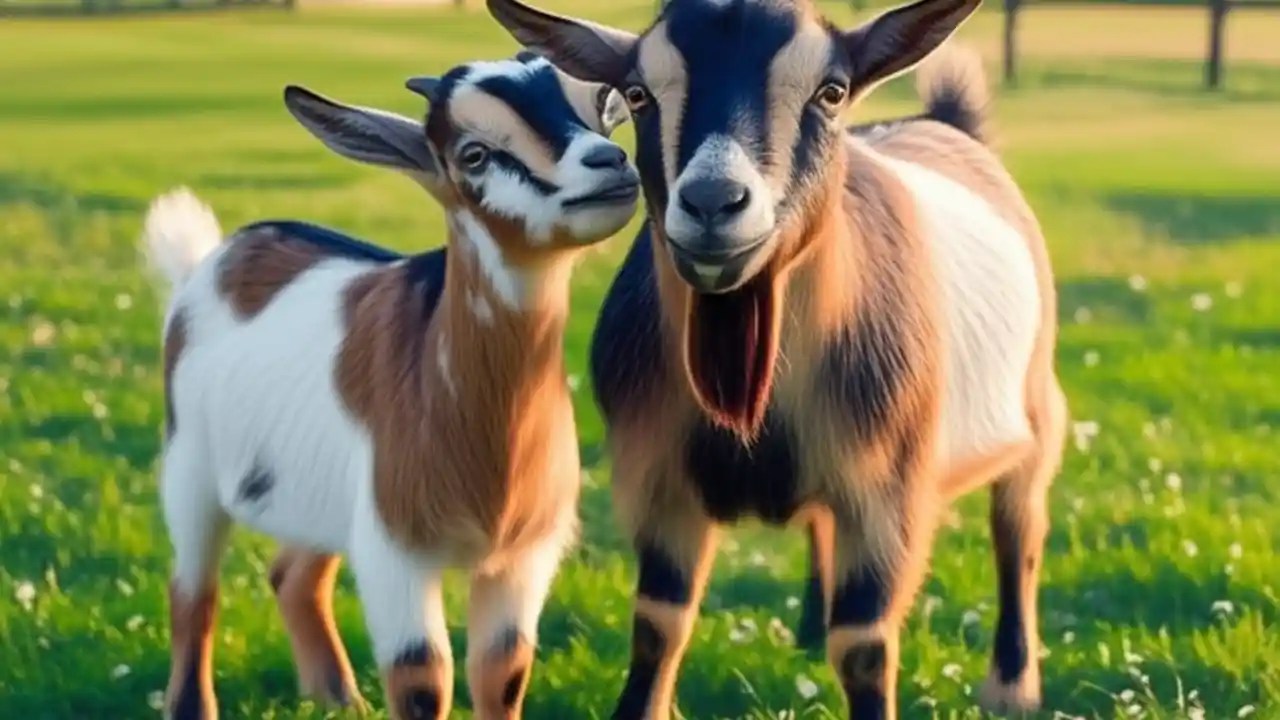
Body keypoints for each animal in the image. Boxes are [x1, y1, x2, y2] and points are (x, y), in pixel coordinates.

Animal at [144, 53, 638, 720]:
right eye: (473, 153)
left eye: (600, 115)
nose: (609, 161)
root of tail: (211, 260)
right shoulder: (394, 549)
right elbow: (422, 678)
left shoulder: (522, 556)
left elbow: (501, 673)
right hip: (190, 466)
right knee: (193, 589)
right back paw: (194, 704)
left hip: (323, 491)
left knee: (293, 576)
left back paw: (339, 698)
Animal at [488, 0, 1068, 717]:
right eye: (638, 93)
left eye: (832, 91)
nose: (713, 202)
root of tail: (949, 125)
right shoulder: (658, 479)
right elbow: (657, 624)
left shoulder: (888, 493)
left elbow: (865, 646)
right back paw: (809, 633)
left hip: (1037, 408)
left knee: (1019, 531)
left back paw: (1011, 684)